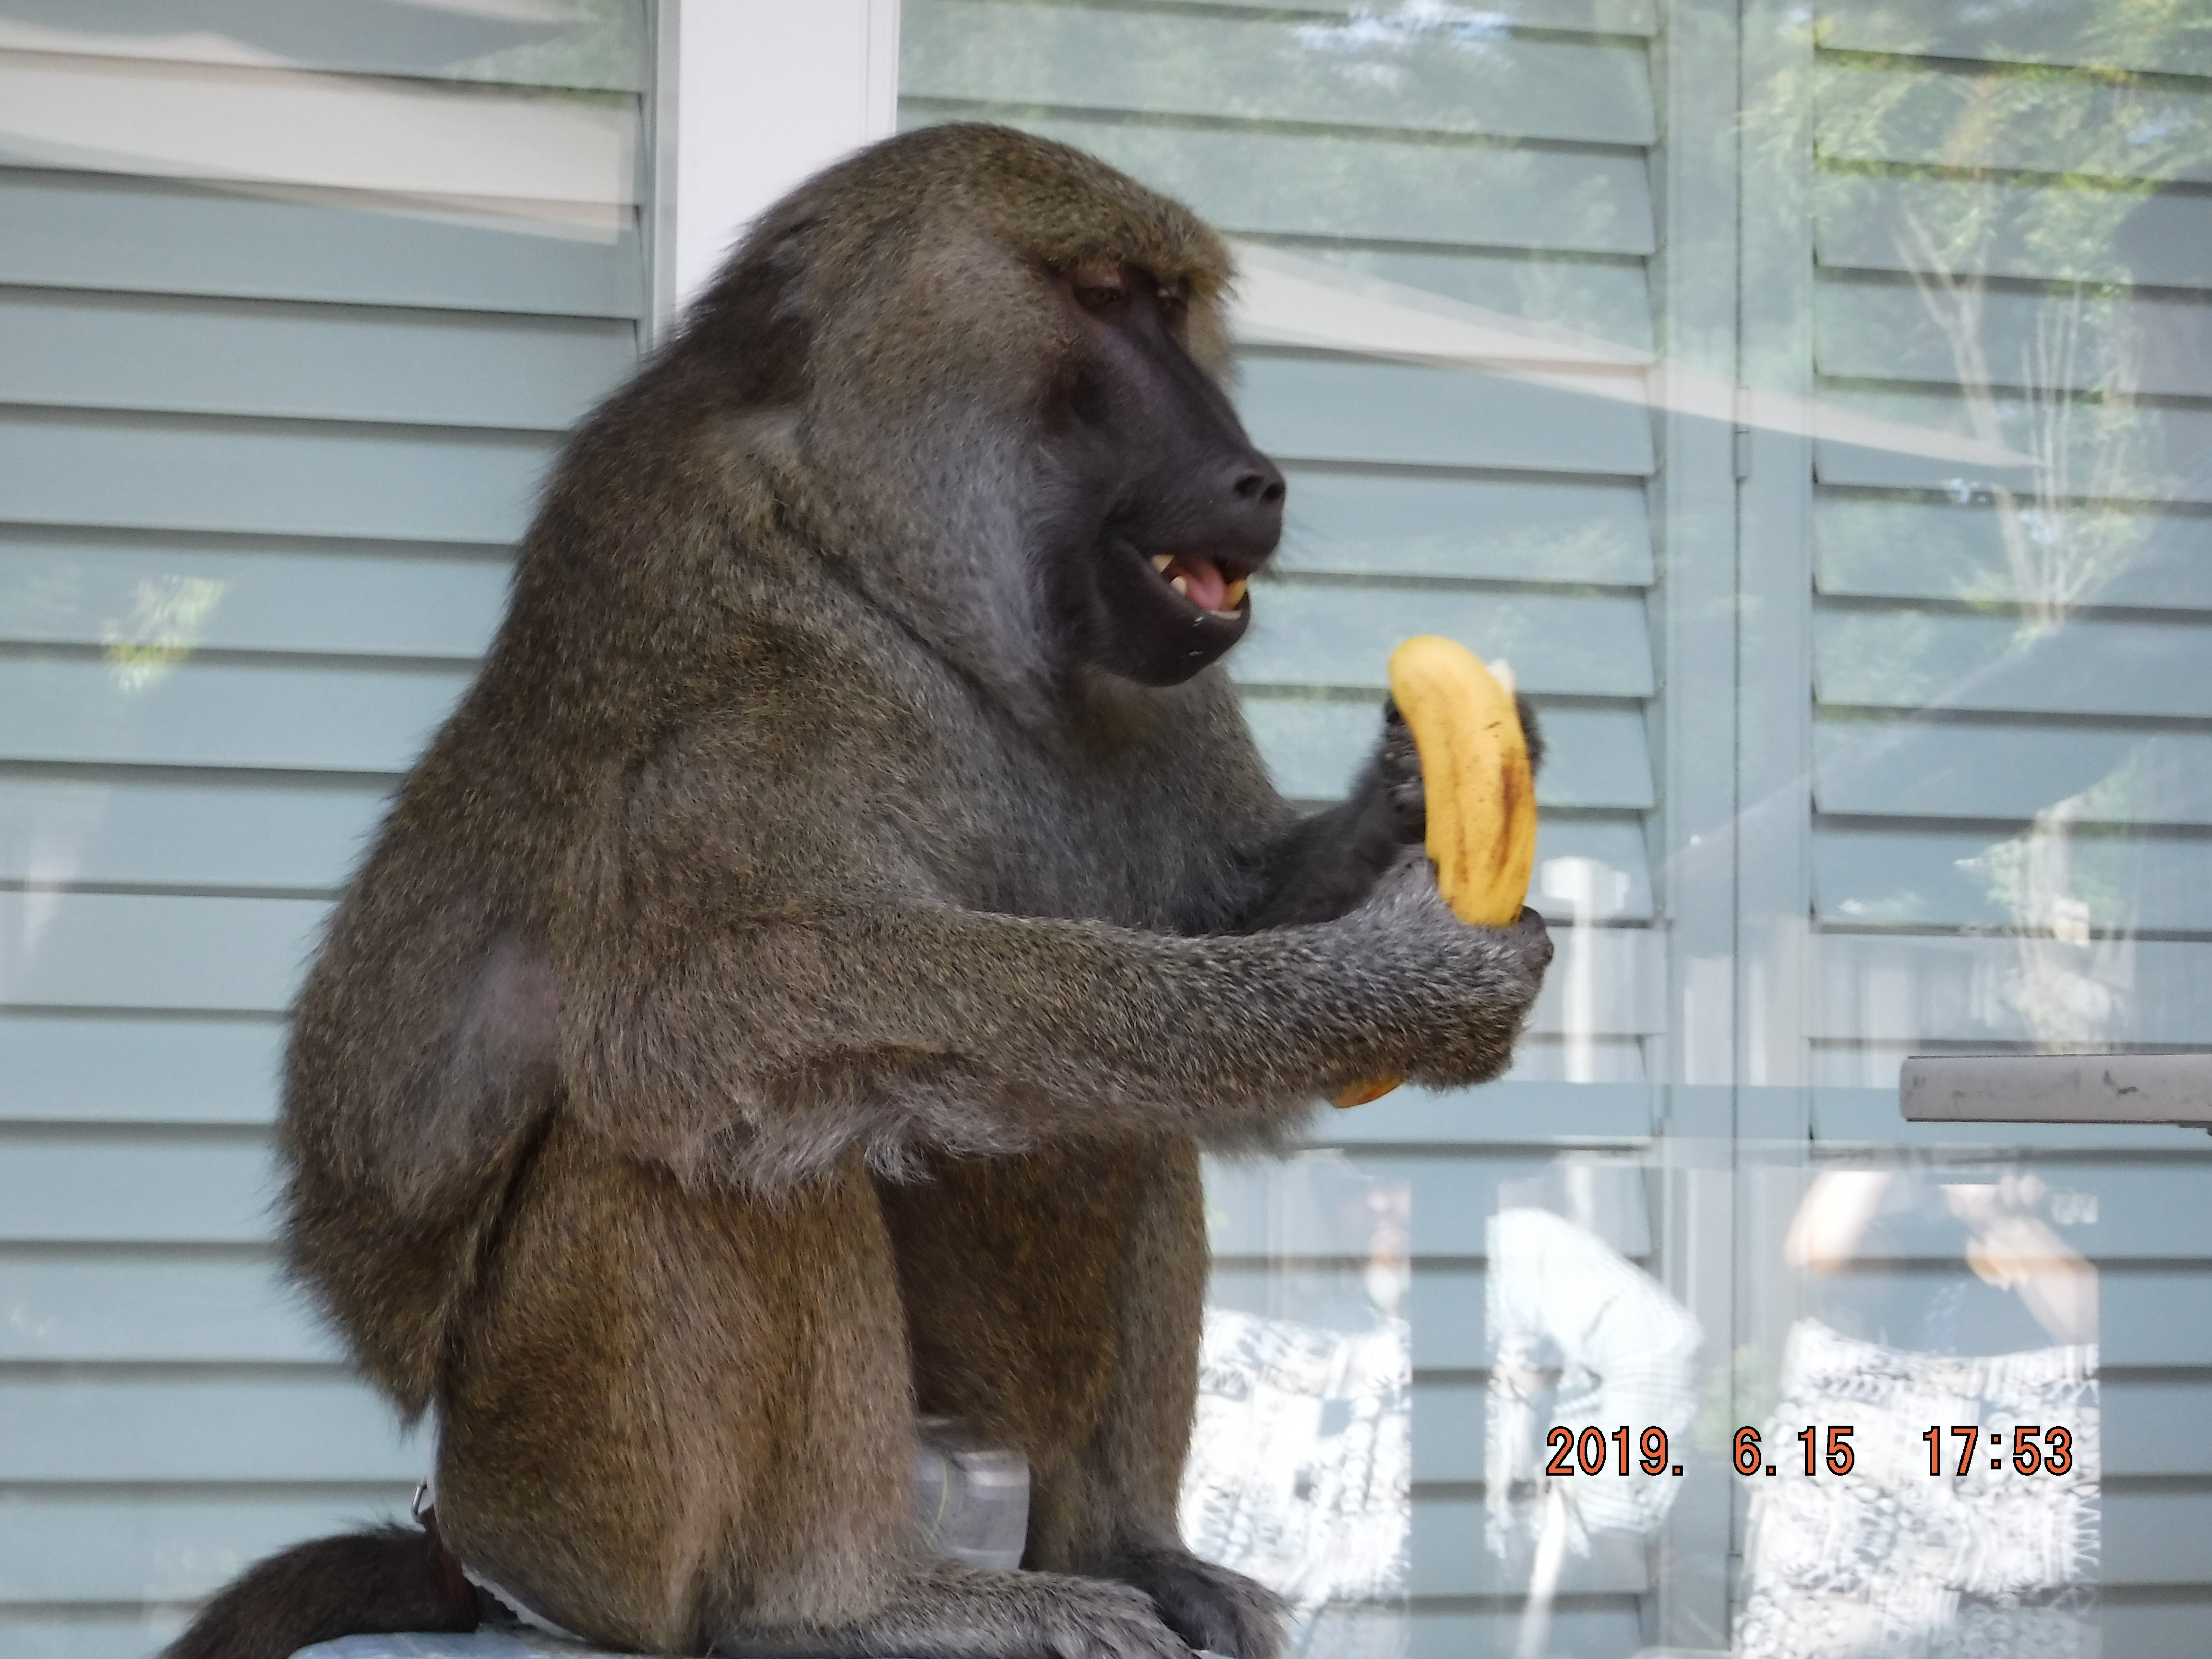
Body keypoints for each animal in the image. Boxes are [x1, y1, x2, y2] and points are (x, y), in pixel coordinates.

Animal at [166, 123, 1552, 1659]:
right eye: (1099, 296)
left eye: (1173, 302)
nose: (1255, 478)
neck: (875, 556)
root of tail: (466, 1546)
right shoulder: (752, 675)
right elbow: (719, 990)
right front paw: (1400, 986)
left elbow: (1207, 930)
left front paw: (1414, 794)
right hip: (571, 1515)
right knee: (696, 1111)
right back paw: (854, 1603)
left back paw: (1125, 1549)